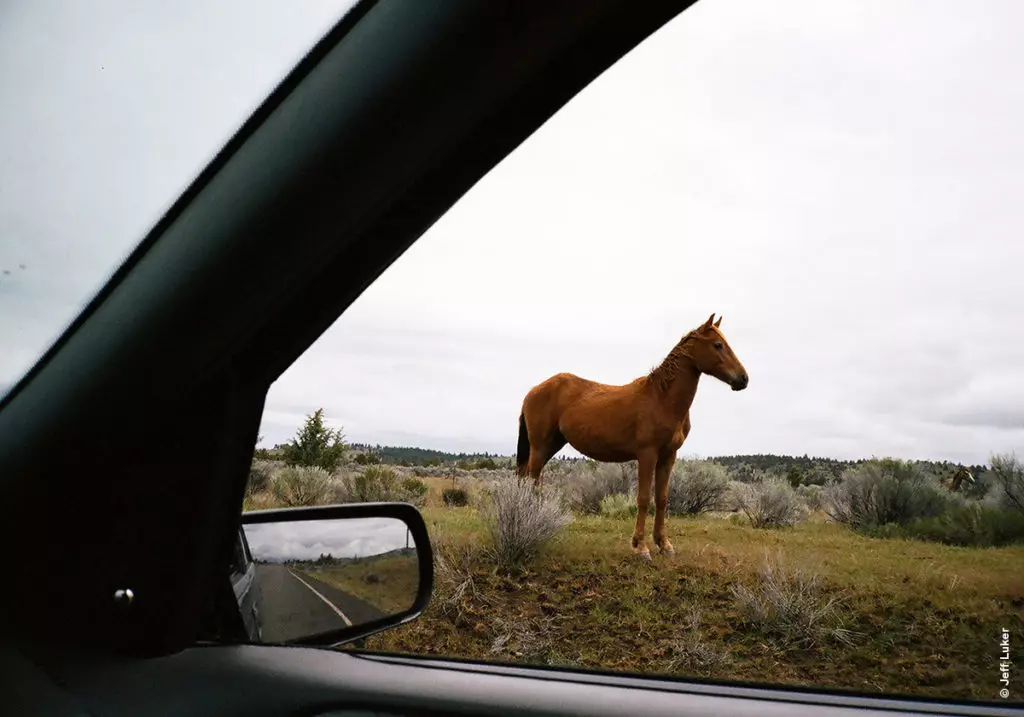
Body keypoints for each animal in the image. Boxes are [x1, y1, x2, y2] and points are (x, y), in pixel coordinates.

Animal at [516, 313, 749, 561]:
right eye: (718, 345)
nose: (743, 379)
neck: (662, 399)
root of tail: (533, 391)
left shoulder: (668, 456)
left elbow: (662, 498)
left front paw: (664, 544)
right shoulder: (647, 454)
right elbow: (644, 498)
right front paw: (641, 547)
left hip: (551, 445)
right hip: (540, 447)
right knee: (531, 481)